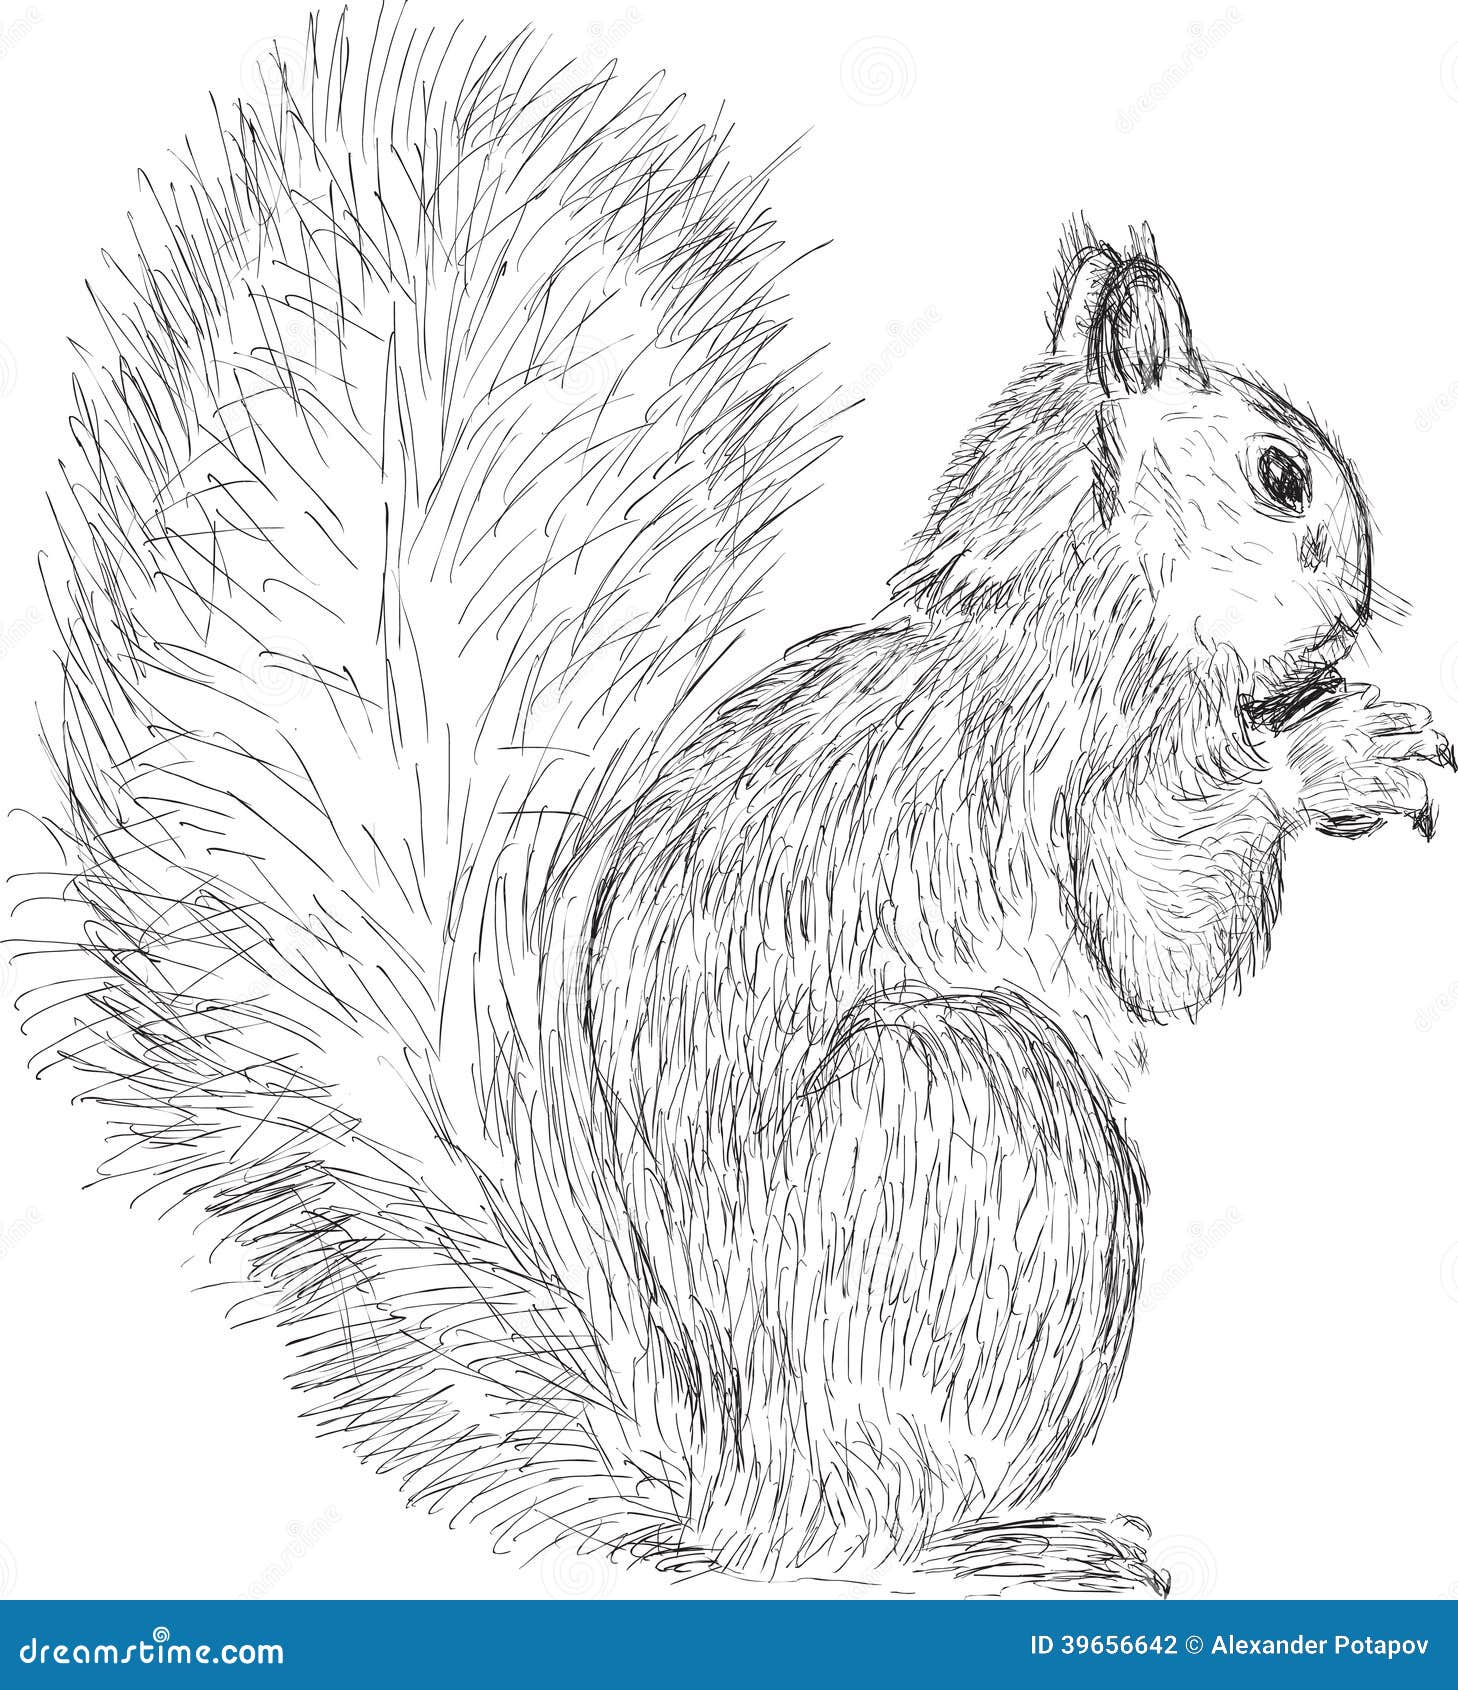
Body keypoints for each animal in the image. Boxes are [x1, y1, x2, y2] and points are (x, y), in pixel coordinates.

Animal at [33, 11, 1449, 1593]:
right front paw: (1338, 754)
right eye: (1280, 476)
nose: (1363, 599)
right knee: (869, 1544)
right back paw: (1009, 1544)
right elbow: (1161, 932)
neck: (1061, 602)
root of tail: (746, 1490)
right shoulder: (1088, 763)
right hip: (974, 1119)